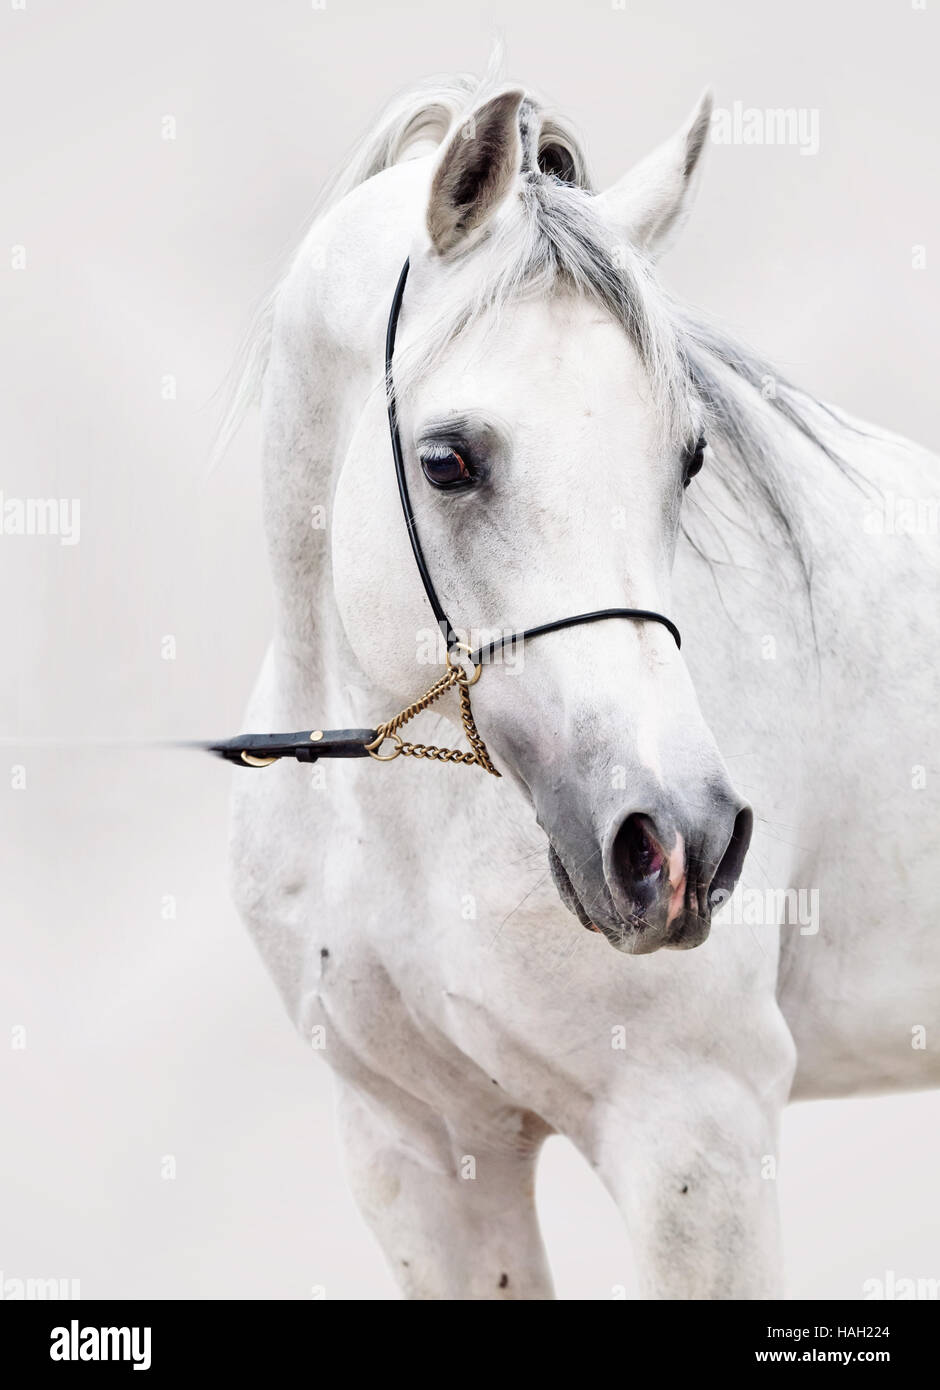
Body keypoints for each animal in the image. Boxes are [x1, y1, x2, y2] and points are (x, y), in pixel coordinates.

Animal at [224, 69, 939, 1299]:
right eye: (447, 460)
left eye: (689, 457)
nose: (679, 843)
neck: (397, 825)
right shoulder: (420, 1151)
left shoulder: (693, 1133)